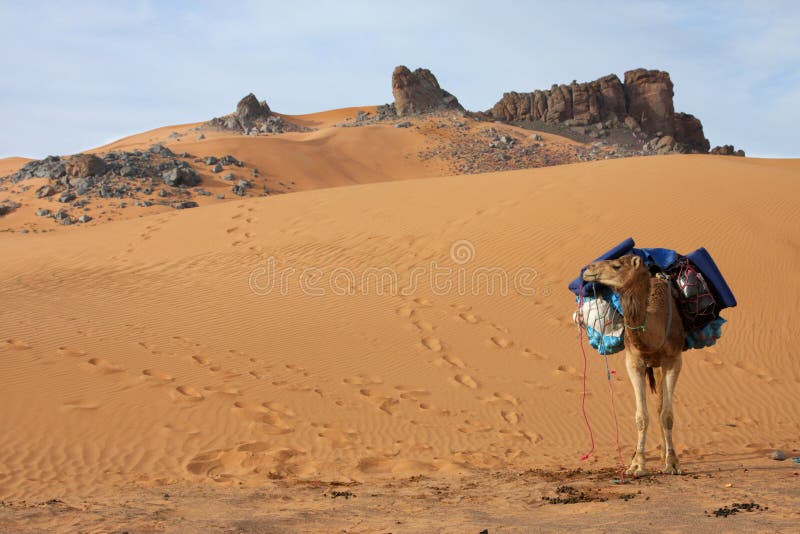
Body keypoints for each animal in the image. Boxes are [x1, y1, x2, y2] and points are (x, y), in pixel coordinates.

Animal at [582, 254, 685, 477]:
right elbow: (641, 417)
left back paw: (665, 456)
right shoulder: (634, 361)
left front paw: (673, 464)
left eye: (616, 266)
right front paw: (637, 465)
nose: (588, 269)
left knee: (661, 407)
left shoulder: (674, 359)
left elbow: (668, 415)